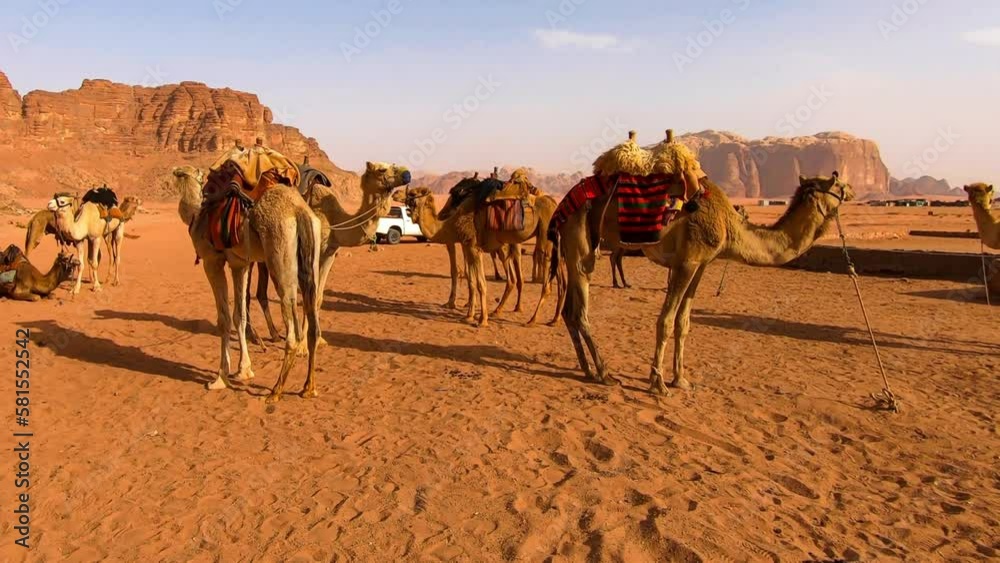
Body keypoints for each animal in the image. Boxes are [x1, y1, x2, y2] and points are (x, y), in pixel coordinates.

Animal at [553, 133, 853, 394]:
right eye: (837, 185)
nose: (850, 190)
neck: (728, 223)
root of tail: (562, 205)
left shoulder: (701, 264)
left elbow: (683, 322)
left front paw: (680, 380)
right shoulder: (687, 261)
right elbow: (665, 320)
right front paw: (658, 383)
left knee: (569, 311)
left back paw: (588, 370)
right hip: (581, 244)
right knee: (580, 311)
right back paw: (604, 373)